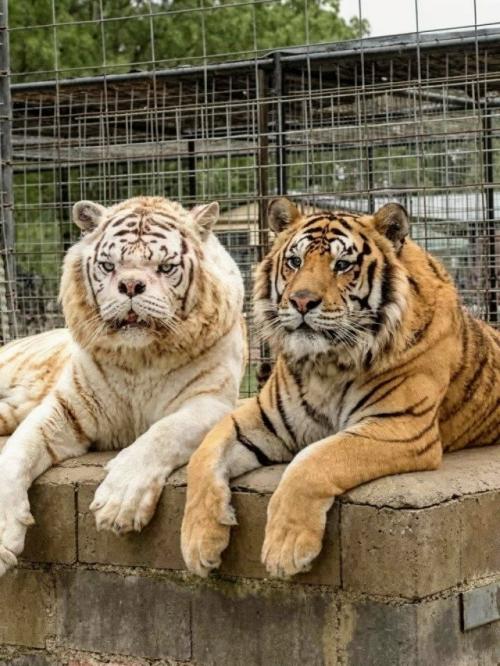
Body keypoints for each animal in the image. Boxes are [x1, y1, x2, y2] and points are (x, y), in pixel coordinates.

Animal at [0, 195, 245, 577]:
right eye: (108, 265)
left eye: (165, 267)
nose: (130, 286)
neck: (140, 358)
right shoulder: (64, 408)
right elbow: (16, 452)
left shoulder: (209, 402)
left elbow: (162, 434)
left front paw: (119, 503)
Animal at [181, 197, 500, 579]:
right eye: (295, 261)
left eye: (342, 265)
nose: (302, 301)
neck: (326, 364)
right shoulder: (260, 416)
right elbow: (204, 454)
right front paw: (198, 543)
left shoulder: (399, 426)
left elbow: (313, 460)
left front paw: (285, 549)